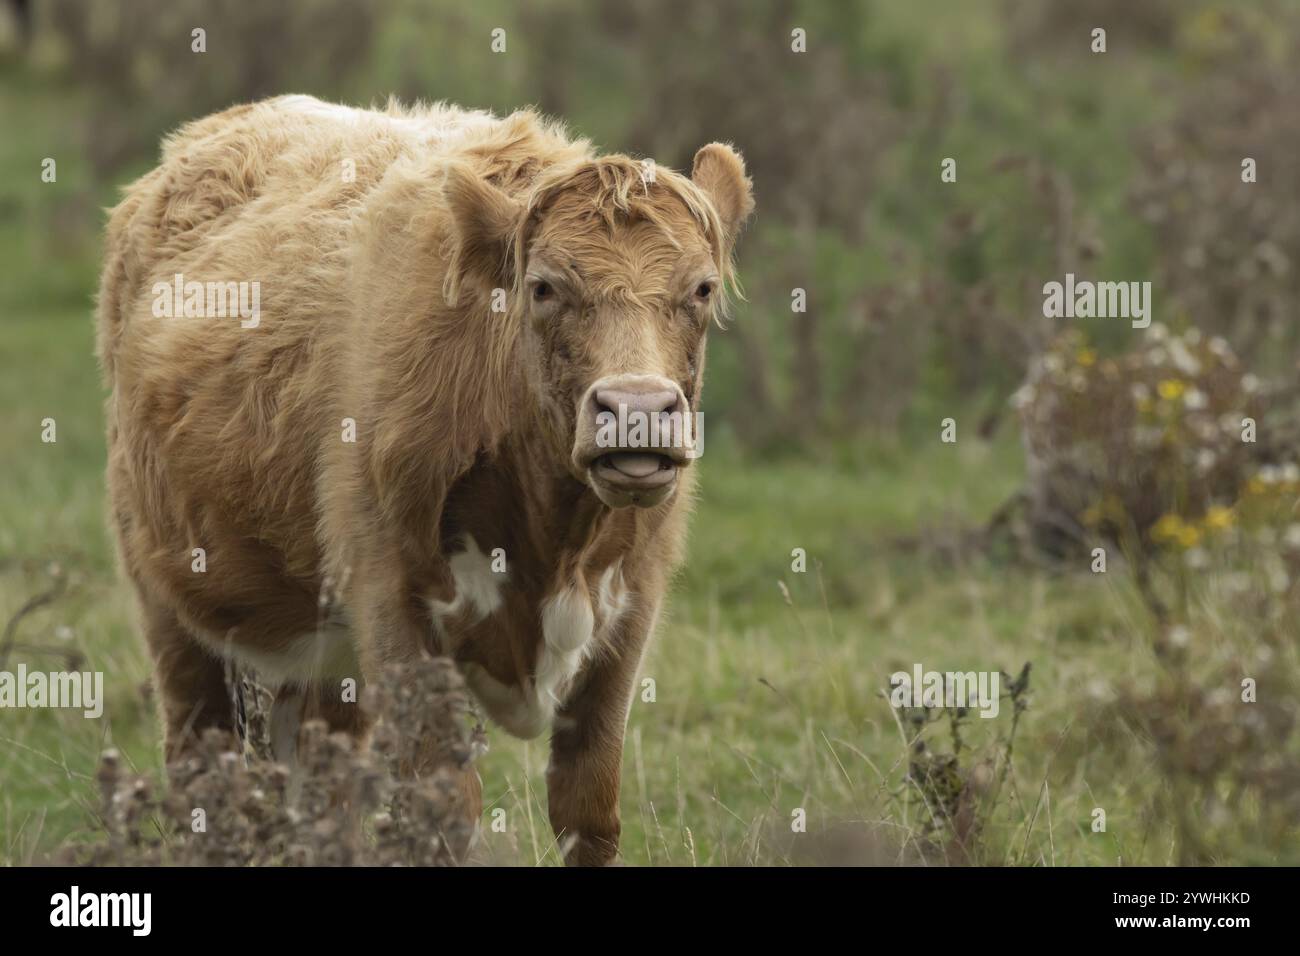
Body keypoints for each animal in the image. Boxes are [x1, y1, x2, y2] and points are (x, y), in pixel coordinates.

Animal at [95, 95, 753, 866]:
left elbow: (588, 814)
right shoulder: (394, 606)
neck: (554, 541)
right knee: (203, 765)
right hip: (173, 608)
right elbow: (442, 813)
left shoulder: (627, 619)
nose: (637, 411)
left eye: (701, 288)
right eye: (545, 287)